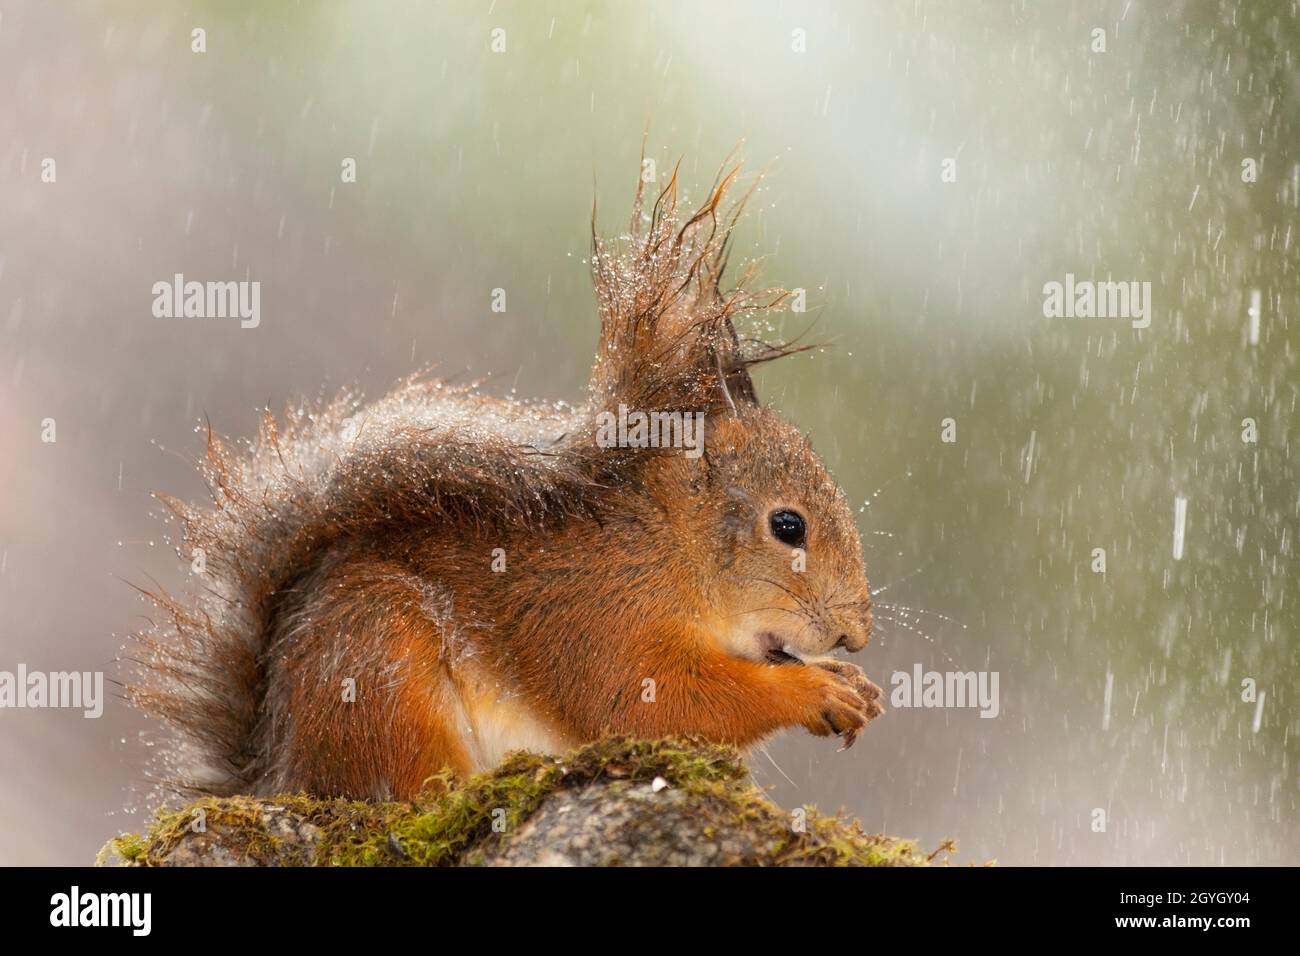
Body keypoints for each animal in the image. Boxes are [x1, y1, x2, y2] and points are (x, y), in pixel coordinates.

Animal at [128, 159, 884, 800]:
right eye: (787, 525)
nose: (856, 636)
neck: (669, 546)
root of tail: (281, 775)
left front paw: (853, 685)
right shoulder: (596, 612)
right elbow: (653, 704)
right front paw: (818, 693)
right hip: (380, 667)